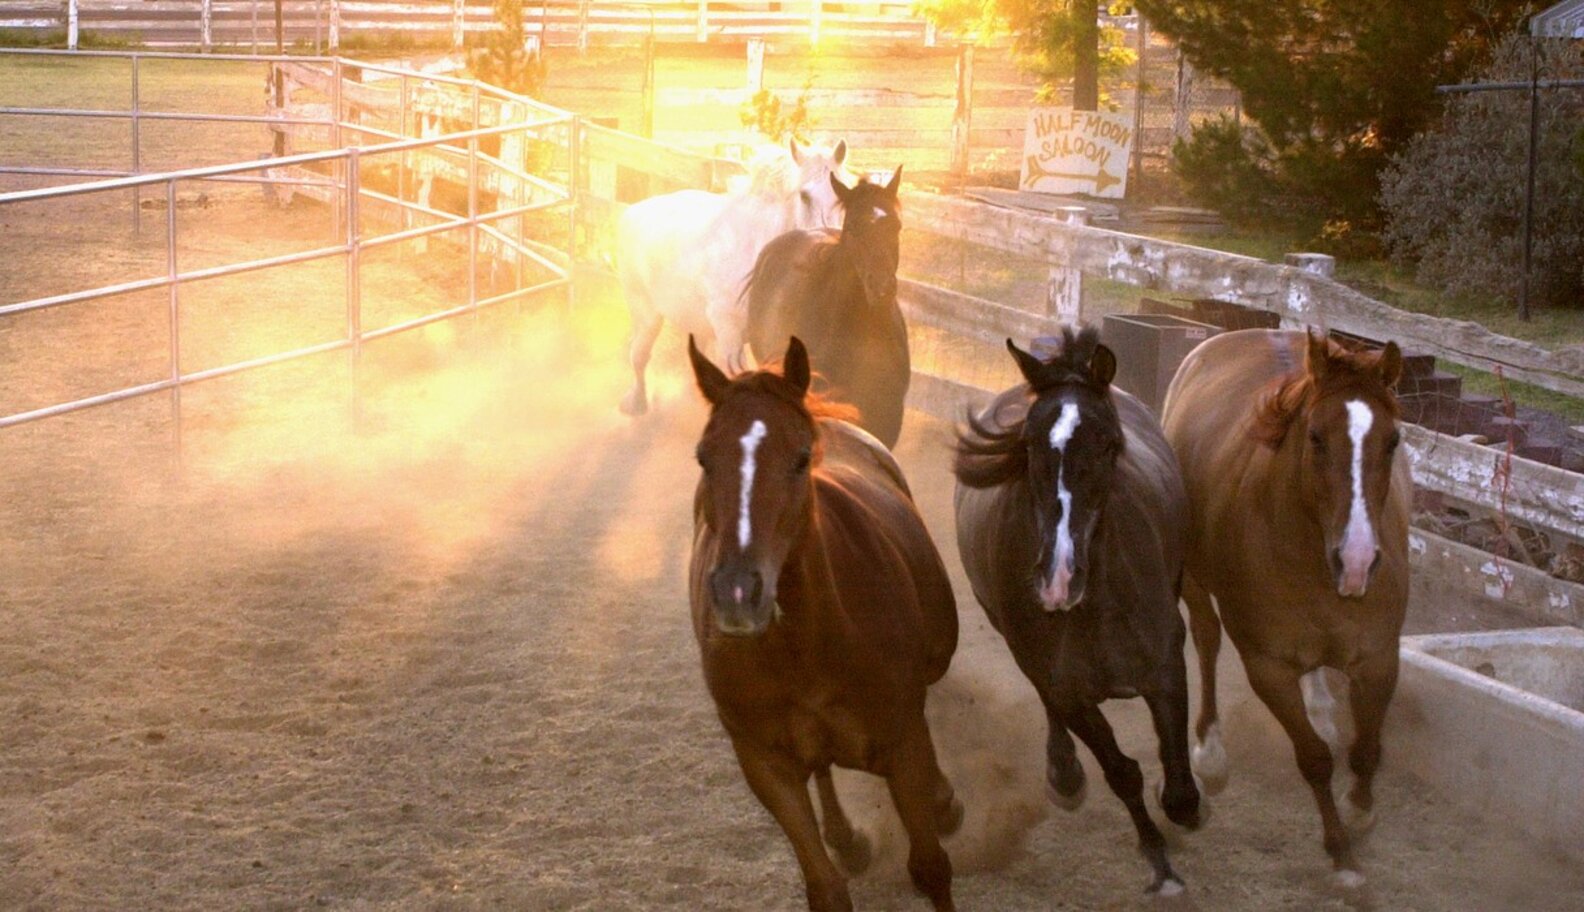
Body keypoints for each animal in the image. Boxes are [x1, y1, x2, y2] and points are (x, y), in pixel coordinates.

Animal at [618, 138, 851, 416]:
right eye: (804, 196)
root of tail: (634, 212)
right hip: (645, 313)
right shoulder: (728, 333)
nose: (832, 242)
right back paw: (636, 404)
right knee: (639, 355)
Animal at [687, 335, 962, 912]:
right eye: (704, 458)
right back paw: (846, 838)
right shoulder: (765, 764)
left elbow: (930, 866)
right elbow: (825, 887)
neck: (807, 643)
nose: (738, 592)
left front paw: (939, 804)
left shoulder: (902, 741)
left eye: (799, 459)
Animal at [952, 328, 1202, 896]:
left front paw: (1183, 809)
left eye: (1108, 443)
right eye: (1027, 444)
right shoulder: (1068, 691)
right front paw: (1159, 863)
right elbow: (1122, 771)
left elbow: (1176, 780)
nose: (1058, 577)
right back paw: (1063, 774)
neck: (1100, 608)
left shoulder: (1165, 666)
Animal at [1159, 328, 1409, 887]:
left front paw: (1360, 810)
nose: (1357, 559)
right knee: (1205, 640)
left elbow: (1367, 747)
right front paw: (1342, 856)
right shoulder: (1268, 668)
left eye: (1393, 441)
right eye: (1315, 437)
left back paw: (1321, 711)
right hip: (1192, 578)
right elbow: (1313, 759)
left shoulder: (1379, 657)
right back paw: (1210, 755)